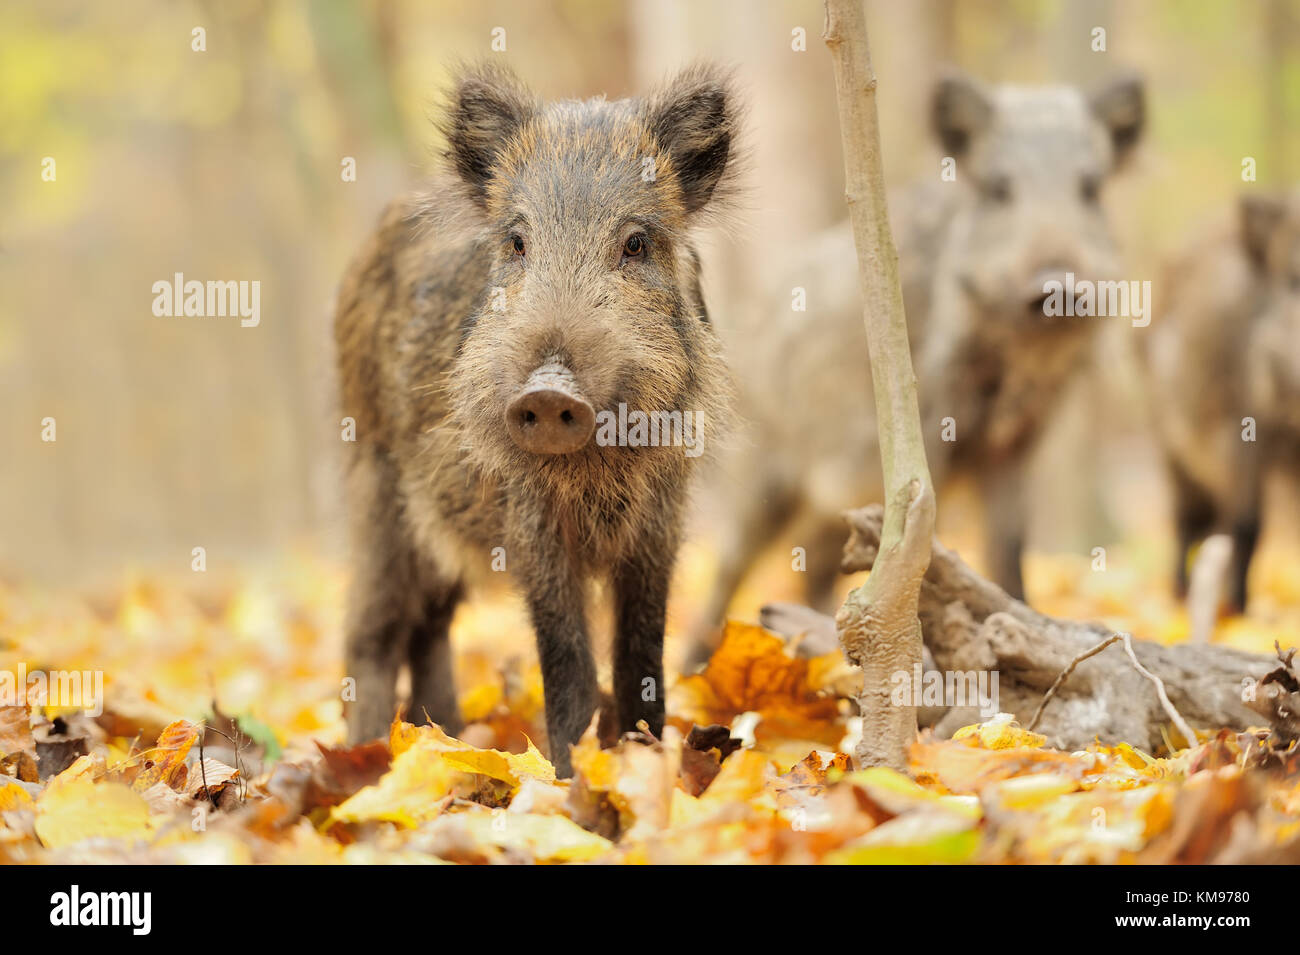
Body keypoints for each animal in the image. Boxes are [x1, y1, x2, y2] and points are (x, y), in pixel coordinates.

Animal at [335, 64, 740, 776]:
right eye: (518, 241)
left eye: (636, 242)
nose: (550, 392)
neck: (595, 471)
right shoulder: (529, 525)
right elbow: (568, 665)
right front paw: (570, 779)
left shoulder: (661, 522)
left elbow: (641, 658)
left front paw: (640, 761)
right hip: (375, 483)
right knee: (374, 632)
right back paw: (368, 762)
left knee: (429, 627)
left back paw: (446, 741)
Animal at [689, 72, 1144, 664]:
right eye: (999, 187)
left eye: (1090, 187)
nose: (1057, 286)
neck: (1013, 366)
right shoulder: (932, 441)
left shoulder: (1017, 445)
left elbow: (1009, 547)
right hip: (763, 471)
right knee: (729, 564)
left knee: (814, 565)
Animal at [1144, 192, 1300, 612]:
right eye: (1292, 280)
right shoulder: (1238, 430)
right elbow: (1248, 524)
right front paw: (1238, 611)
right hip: (1172, 448)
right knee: (1191, 518)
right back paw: (1183, 594)